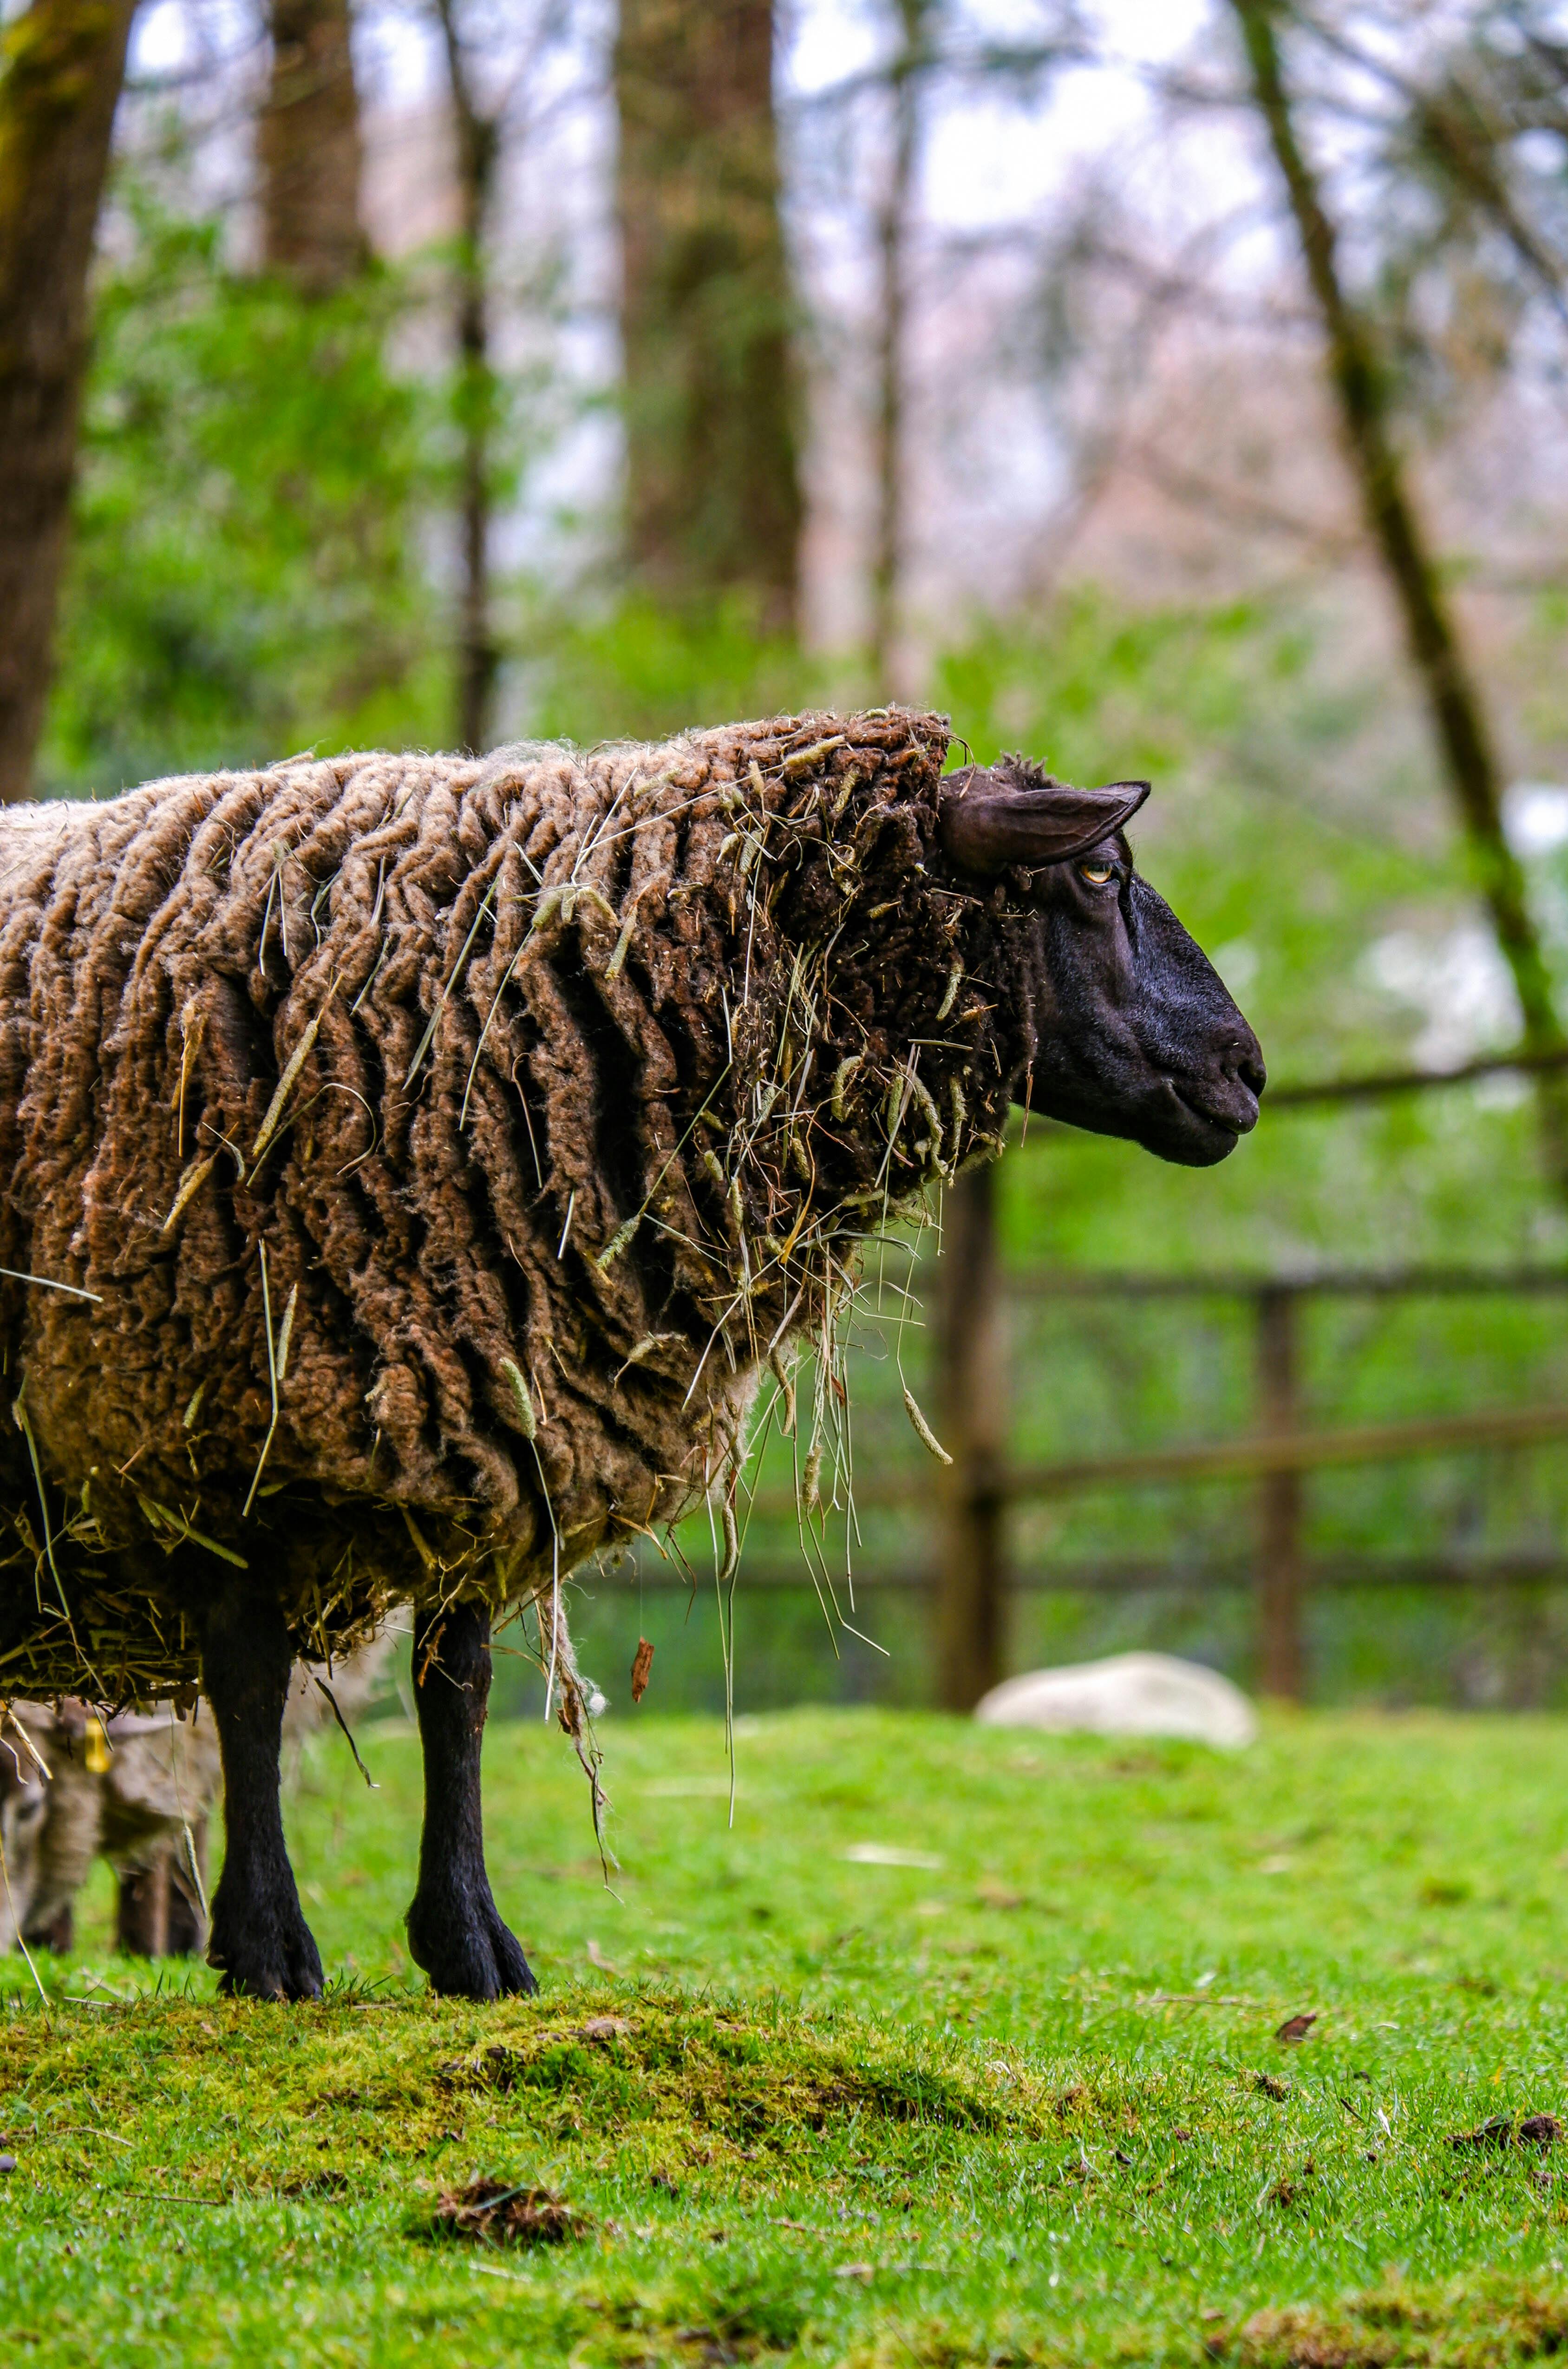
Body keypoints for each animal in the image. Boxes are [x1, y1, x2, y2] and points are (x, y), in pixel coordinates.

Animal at [0, 706, 1262, 2000]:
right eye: (1098, 874)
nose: (1246, 1072)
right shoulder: (204, 1419)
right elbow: (248, 1683)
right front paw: (267, 1949)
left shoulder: (482, 1414)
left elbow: (457, 1687)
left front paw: (470, 1944)